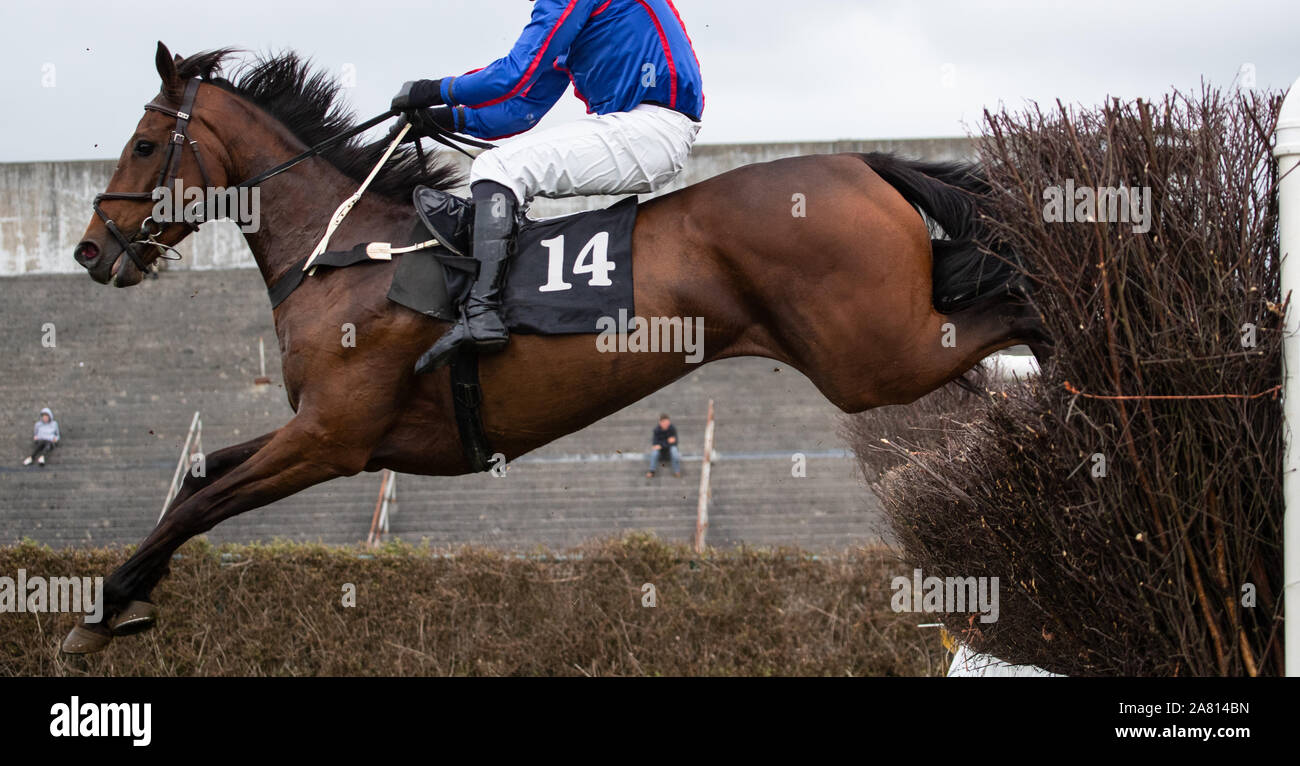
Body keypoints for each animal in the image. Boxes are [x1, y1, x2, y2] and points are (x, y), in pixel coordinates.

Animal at [62, 42, 1048, 653]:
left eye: (144, 144)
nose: (89, 252)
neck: (345, 253)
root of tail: (859, 161)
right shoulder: (328, 435)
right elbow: (198, 475)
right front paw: (127, 595)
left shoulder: (332, 439)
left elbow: (202, 504)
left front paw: (101, 607)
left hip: (873, 358)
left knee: (1023, 307)